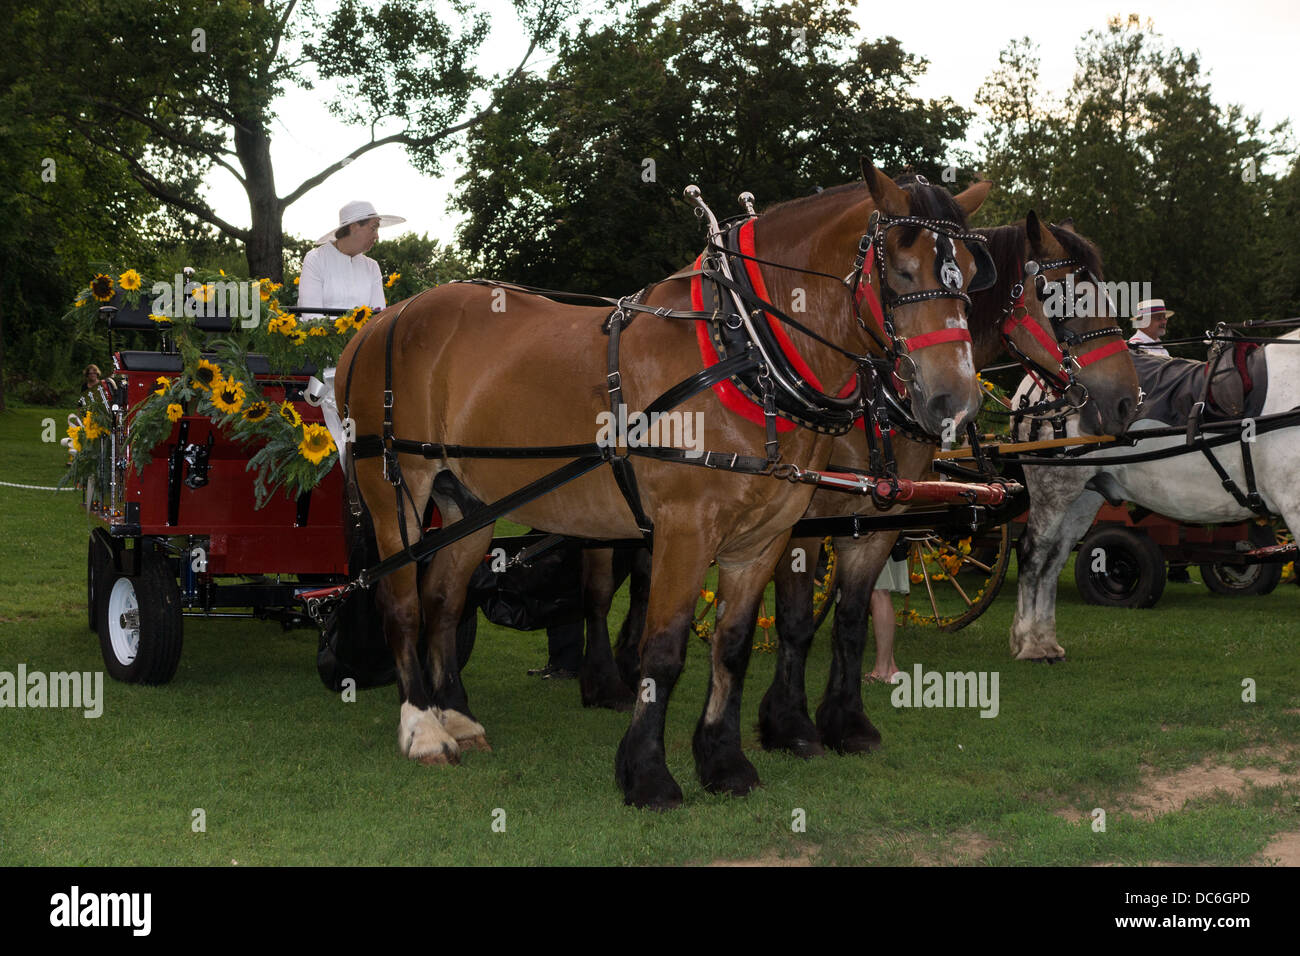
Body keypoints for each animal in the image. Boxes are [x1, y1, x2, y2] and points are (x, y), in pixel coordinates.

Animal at [336, 164, 992, 808]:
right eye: (902, 269)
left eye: (969, 274)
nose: (955, 404)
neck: (743, 348)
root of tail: (379, 323)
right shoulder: (687, 530)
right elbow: (666, 648)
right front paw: (648, 774)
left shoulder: (767, 536)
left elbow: (734, 643)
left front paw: (725, 761)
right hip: (395, 491)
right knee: (402, 602)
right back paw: (423, 727)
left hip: (468, 499)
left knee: (444, 601)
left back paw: (456, 715)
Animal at [1008, 329, 1300, 661]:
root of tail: (1036, 382)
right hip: (1052, 486)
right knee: (1033, 552)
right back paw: (1029, 643)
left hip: (1082, 496)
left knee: (1054, 560)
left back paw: (1045, 641)